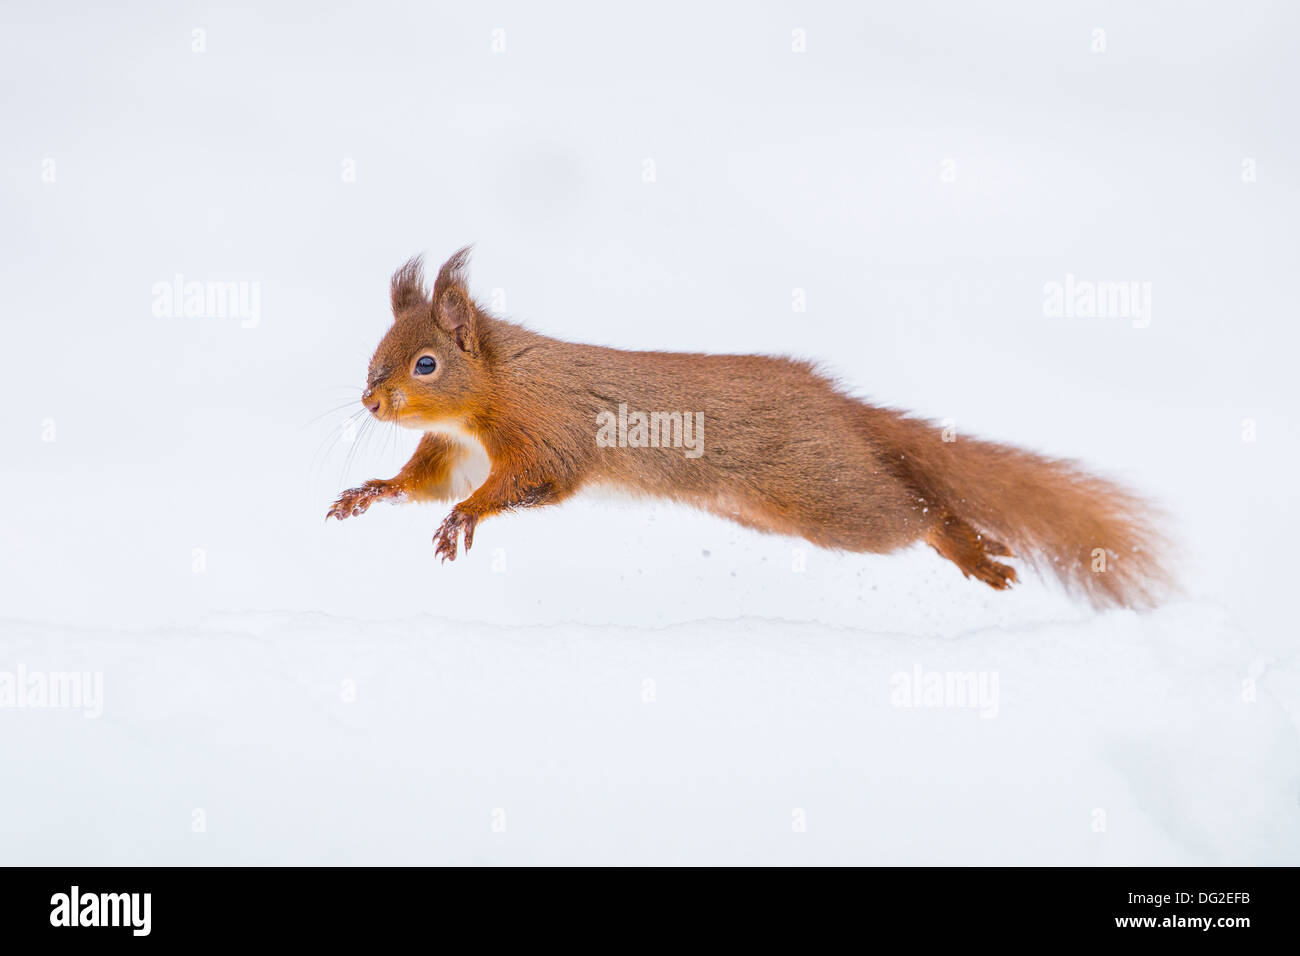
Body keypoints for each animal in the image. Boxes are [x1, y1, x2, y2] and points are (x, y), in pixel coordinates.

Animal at [328, 248, 1173, 609]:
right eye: (377, 353)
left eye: (427, 364)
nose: (371, 402)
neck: (495, 389)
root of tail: (837, 405)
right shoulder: (459, 451)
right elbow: (426, 481)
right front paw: (368, 492)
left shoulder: (549, 430)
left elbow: (525, 483)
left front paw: (462, 521)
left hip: (828, 498)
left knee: (919, 511)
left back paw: (968, 548)